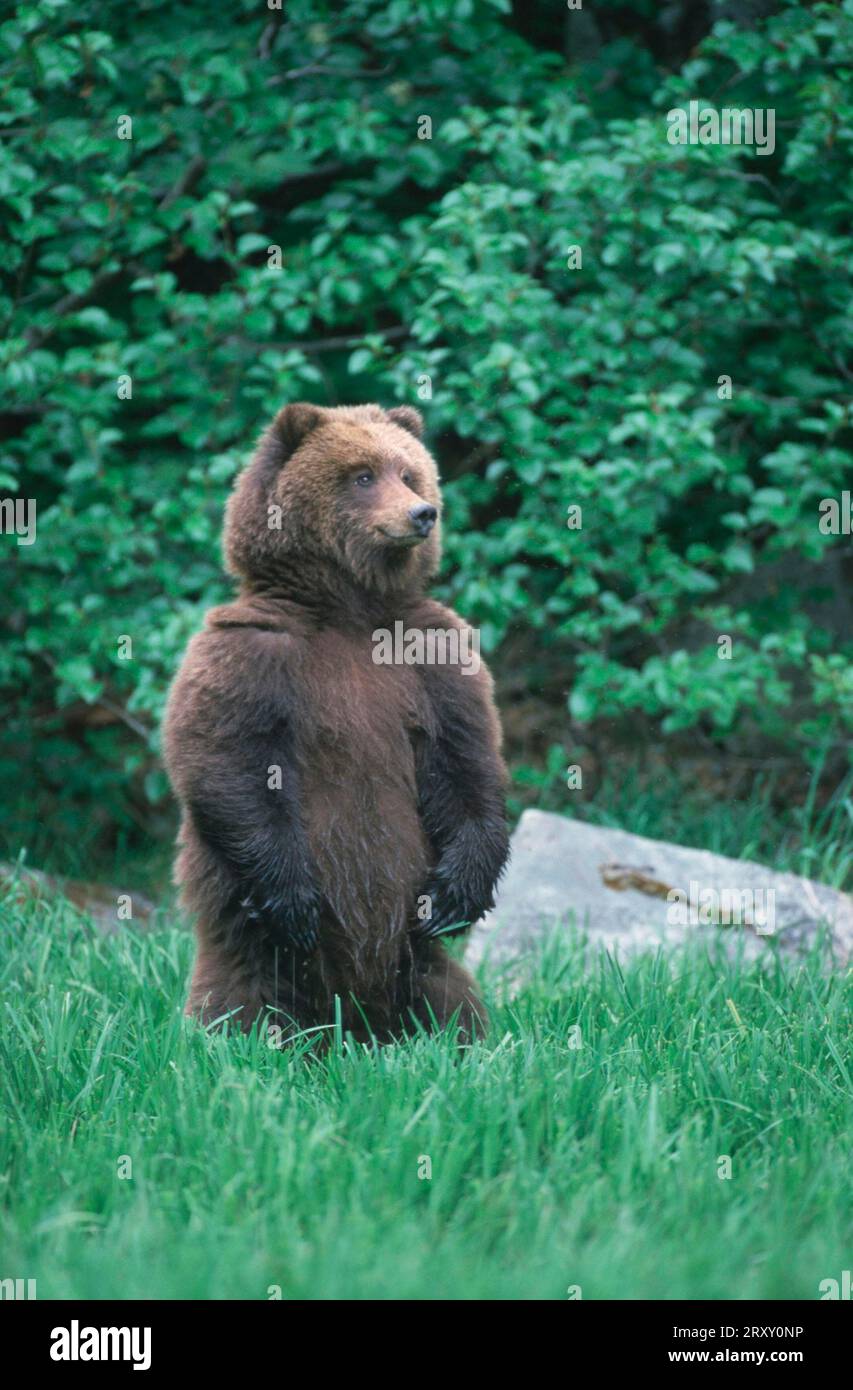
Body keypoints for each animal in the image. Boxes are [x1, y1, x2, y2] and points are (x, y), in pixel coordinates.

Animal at [162, 402, 509, 1045]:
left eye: (410, 473)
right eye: (363, 475)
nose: (423, 513)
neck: (350, 609)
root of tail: (354, 1024)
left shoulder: (434, 659)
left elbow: (466, 761)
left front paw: (456, 895)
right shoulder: (253, 653)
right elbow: (228, 761)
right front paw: (294, 901)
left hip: (413, 959)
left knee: (447, 990)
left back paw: (459, 1042)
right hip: (248, 946)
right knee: (241, 996)